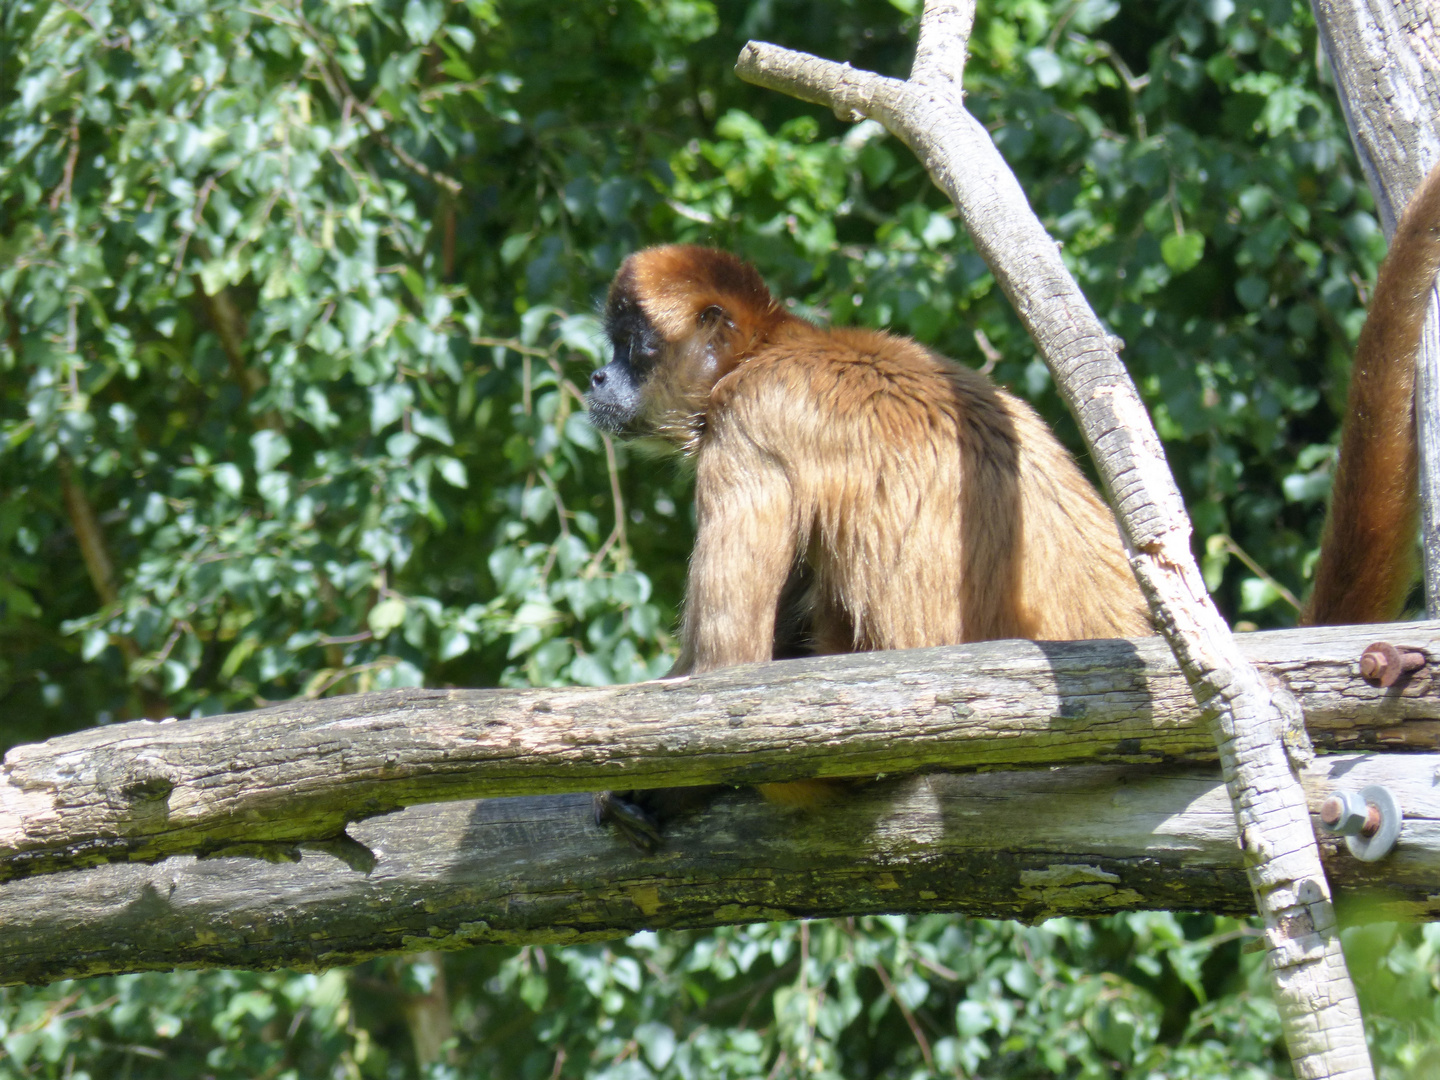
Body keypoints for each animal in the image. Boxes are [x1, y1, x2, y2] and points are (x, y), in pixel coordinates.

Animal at [584, 162, 1440, 852]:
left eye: (630, 346)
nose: (596, 378)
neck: (777, 345)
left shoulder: (748, 426)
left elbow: (731, 679)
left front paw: (665, 785)